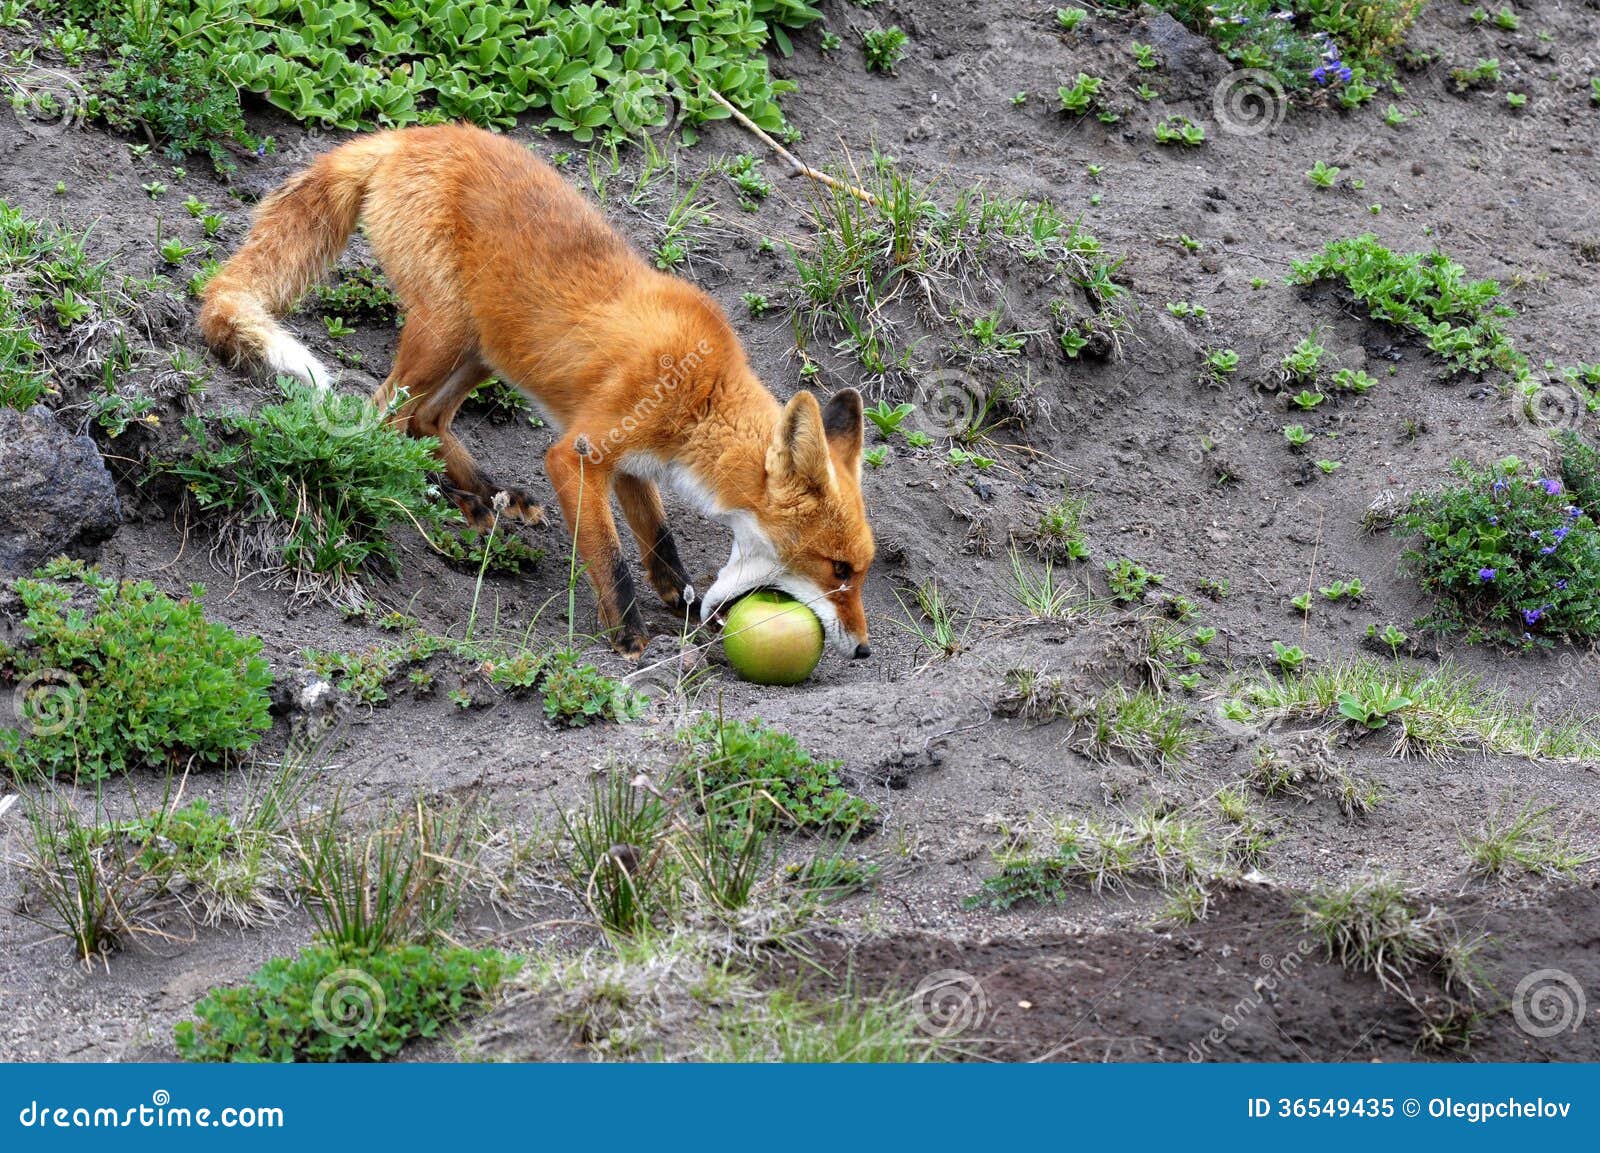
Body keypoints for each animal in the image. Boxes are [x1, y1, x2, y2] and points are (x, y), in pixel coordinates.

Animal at [197, 124, 874, 660]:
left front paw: (680, 603)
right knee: (380, 419)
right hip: (444, 333)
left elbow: (659, 543)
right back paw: (417, 495)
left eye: (860, 572)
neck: (701, 393)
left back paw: (484, 496)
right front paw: (628, 637)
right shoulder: (581, 452)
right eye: (838, 570)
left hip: (486, 348)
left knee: (426, 421)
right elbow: (611, 557)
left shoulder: (634, 465)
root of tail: (409, 134)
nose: (864, 650)